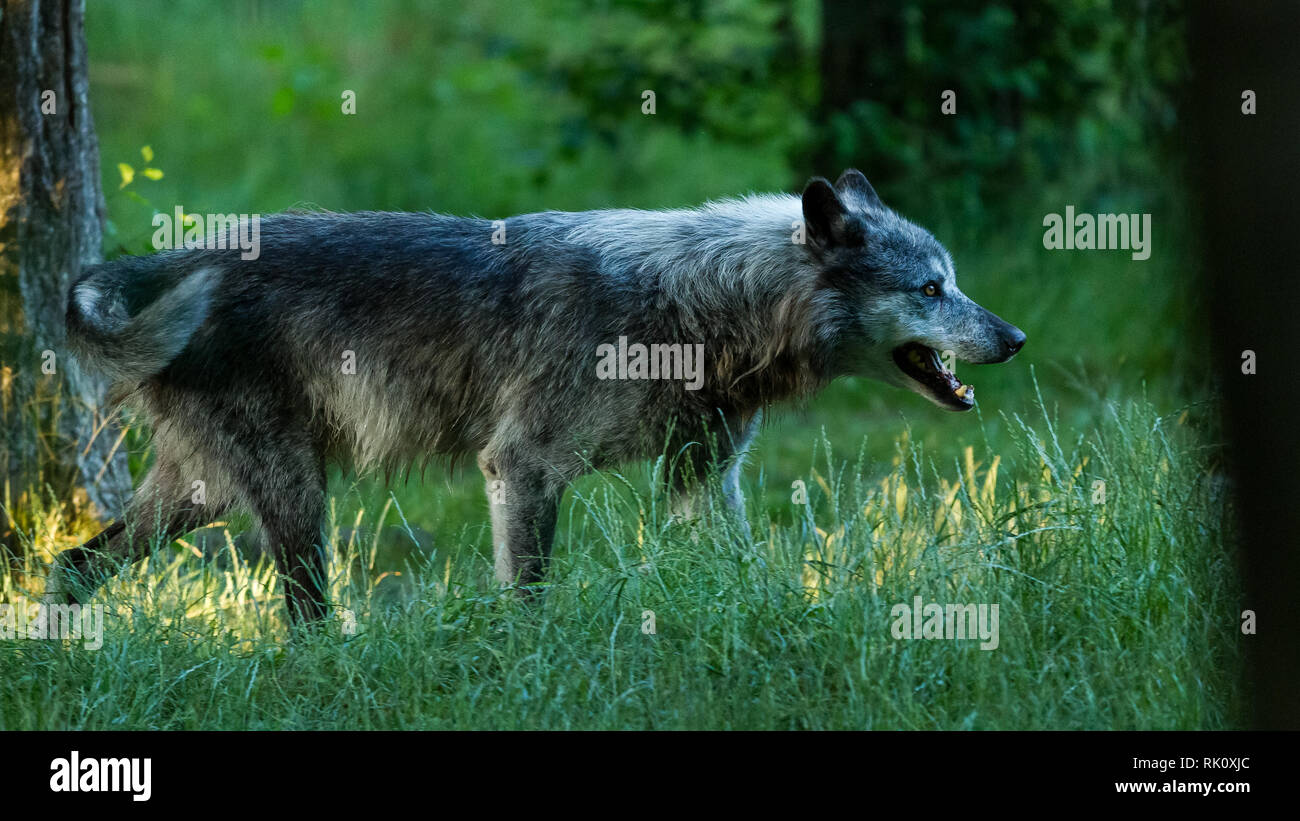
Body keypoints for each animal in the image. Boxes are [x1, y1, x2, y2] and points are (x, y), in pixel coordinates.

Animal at [48, 169, 1024, 625]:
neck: (699, 304)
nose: (1015, 339)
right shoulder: (523, 468)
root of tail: (170, 258)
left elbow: (740, 572)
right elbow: (529, 596)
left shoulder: (704, 476)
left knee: (70, 563)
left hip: (203, 496)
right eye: (931, 288)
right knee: (304, 617)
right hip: (292, 496)